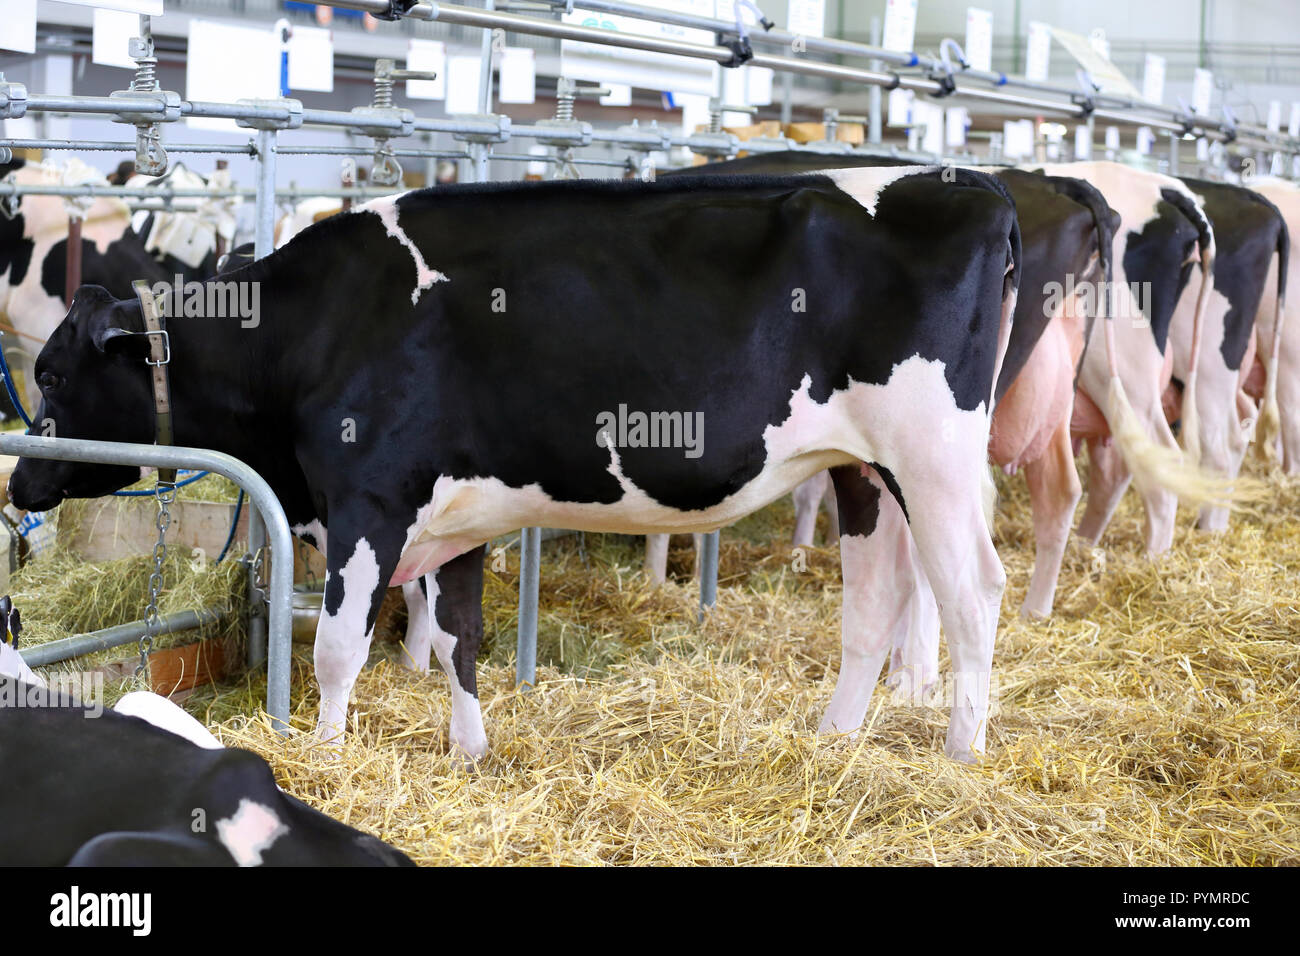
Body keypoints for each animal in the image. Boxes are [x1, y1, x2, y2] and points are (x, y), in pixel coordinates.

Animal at [10, 170, 1021, 764]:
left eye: (53, 373)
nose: (19, 483)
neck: (314, 325)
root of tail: (968, 182)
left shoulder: (369, 502)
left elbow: (339, 648)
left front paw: (328, 754)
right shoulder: (457, 515)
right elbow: (460, 638)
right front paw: (470, 752)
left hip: (931, 455)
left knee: (973, 590)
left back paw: (962, 755)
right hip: (863, 468)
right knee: (877, 599)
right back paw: (833, 738)